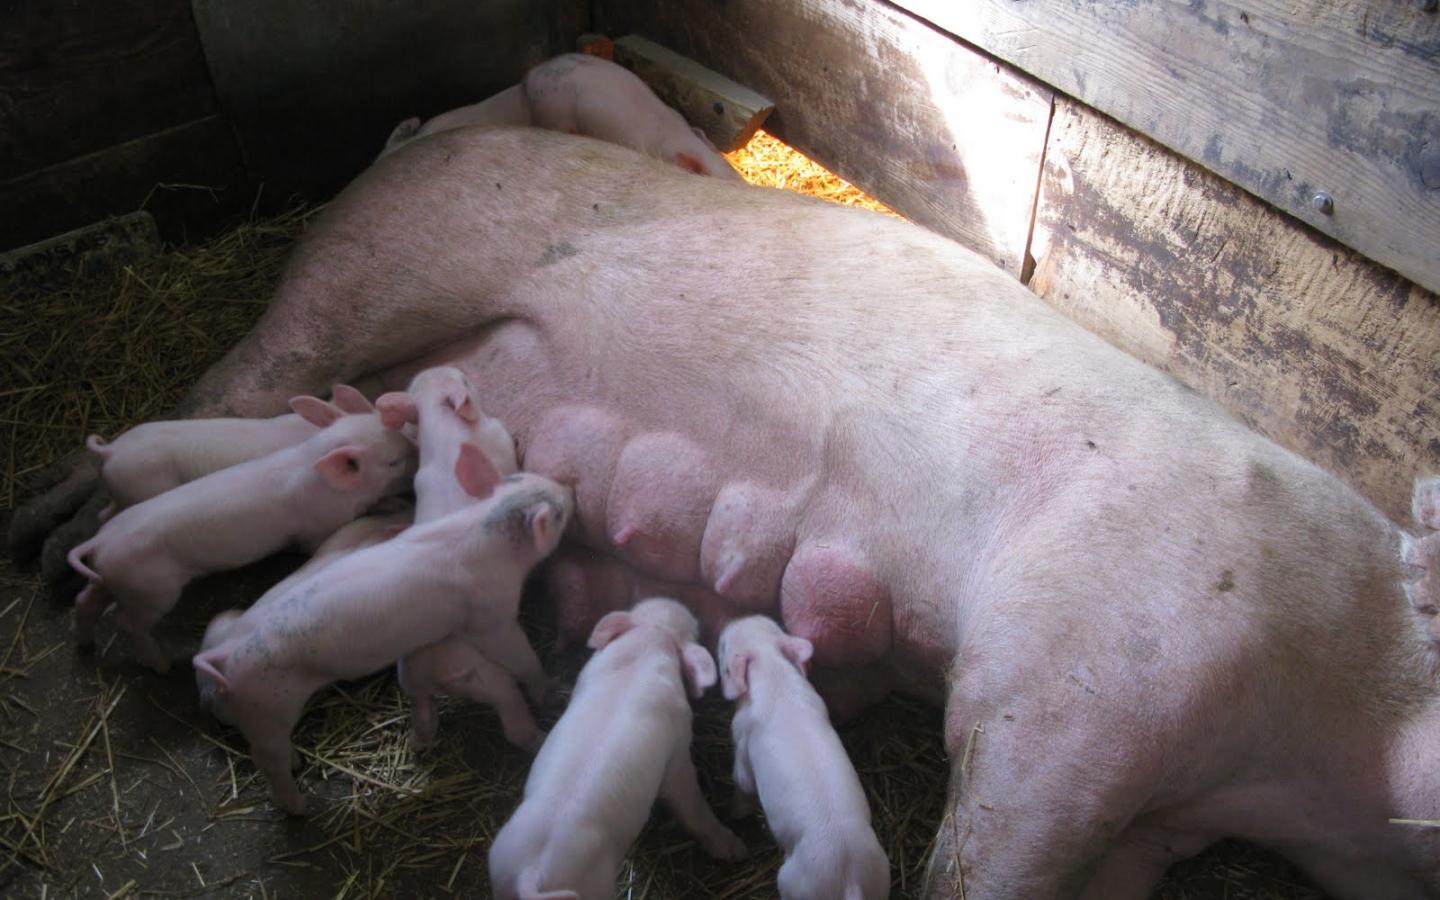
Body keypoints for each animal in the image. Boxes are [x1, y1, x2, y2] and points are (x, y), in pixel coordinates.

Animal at [192, 445, 572, 812]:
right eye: (556, 515)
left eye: (522, 477)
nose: (568, 490)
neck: (483, 529)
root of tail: (223, 661)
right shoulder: (490, 612)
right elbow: (514, 650)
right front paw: (549, 685)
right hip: (267, 709)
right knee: (266, 758)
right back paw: (299, 807)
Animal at [488, 597, 746, 899]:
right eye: (693, 632)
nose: (675, 601)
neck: (650, 640)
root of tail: (530, 877)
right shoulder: (678, 745)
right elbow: (688, 801)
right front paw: (736, 849)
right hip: (594, 886)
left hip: (501, 867)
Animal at [718, 615, 889, 900]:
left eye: (722, 647)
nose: (732, 621)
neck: (773, 672)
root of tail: (850, 879)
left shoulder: (742, 741)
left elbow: (743, 785)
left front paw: (734, 813)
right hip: (879, 875)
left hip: (793, 884)